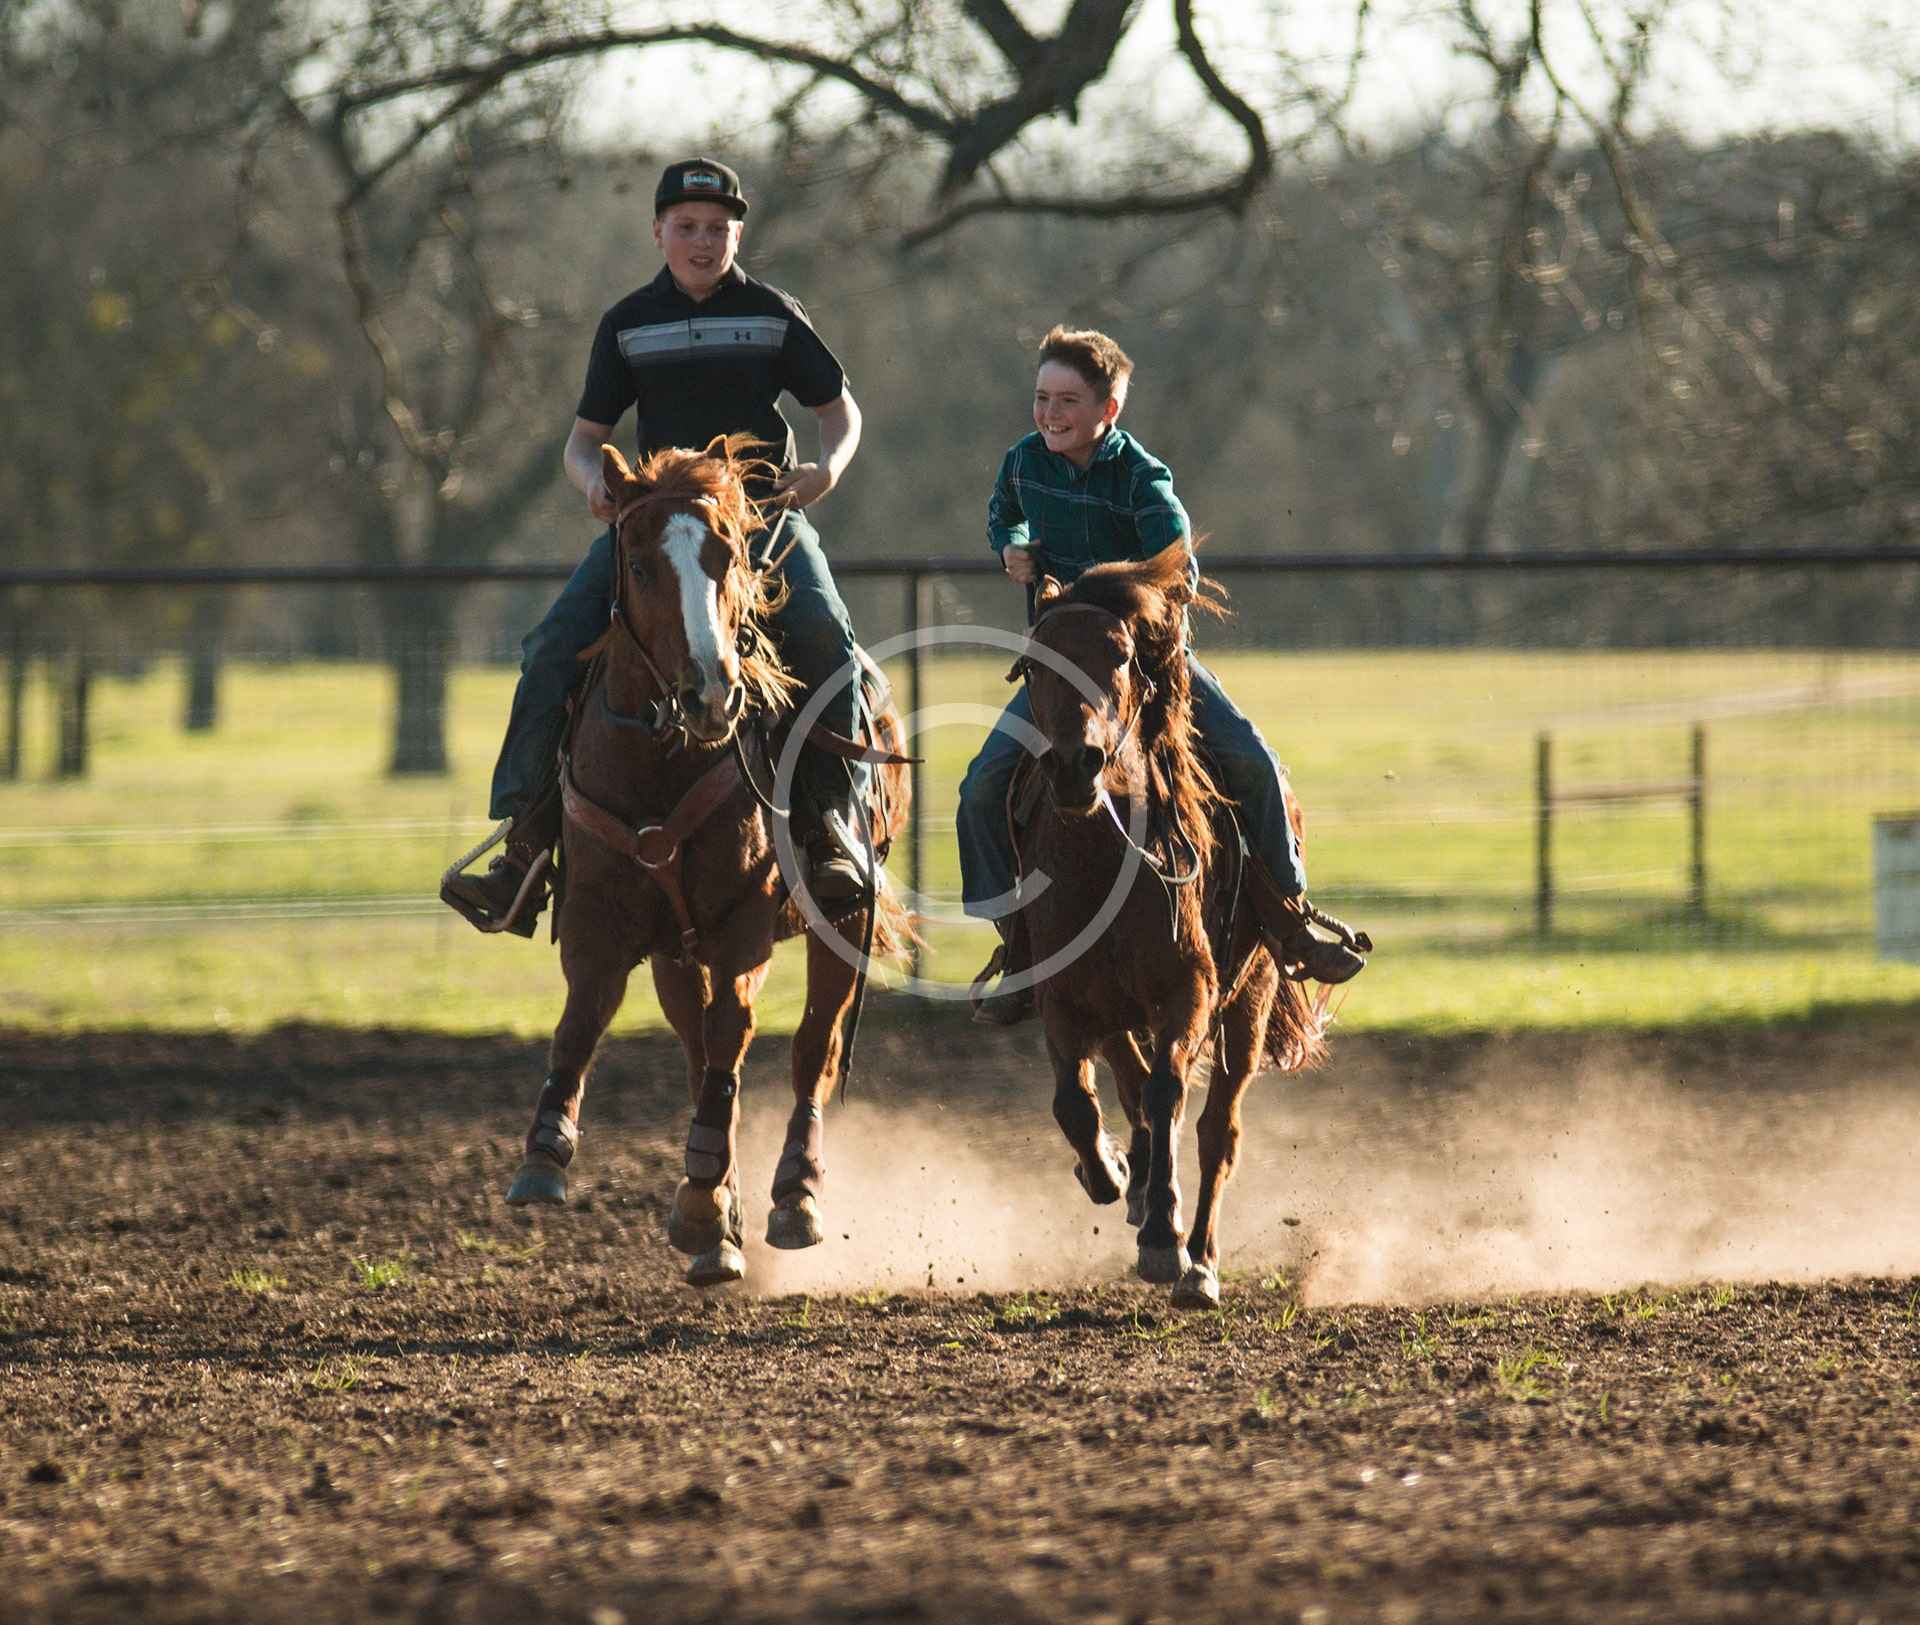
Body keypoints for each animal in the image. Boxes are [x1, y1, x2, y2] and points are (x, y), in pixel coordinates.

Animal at [502, 435, 911, 1289]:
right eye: (637, 561)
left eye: (729, 555)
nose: (711, 695)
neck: (660, 761)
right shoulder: (599, 920)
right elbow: (582, 1020)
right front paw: (546, 1151)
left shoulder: (741, 927)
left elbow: (735, 1037)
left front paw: (702, 1202)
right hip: (673, 952)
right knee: (697, 1055)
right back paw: (722, 1224)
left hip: (838, 921)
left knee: (811, 1052)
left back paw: (792, 1196)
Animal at [1009, 541, 1330, 1308]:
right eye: (1034, 664)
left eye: (1122, 654)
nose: (1076, 765)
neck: (1101, 864)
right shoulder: (1066, 1000)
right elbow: (1078, 1100)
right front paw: (1111, 1173)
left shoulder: (1188, 990)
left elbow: (1167, 1093)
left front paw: (1163, 1237)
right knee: (1134, 1090)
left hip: (1250, 997)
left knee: (1217, 1129)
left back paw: (1199, 1260)